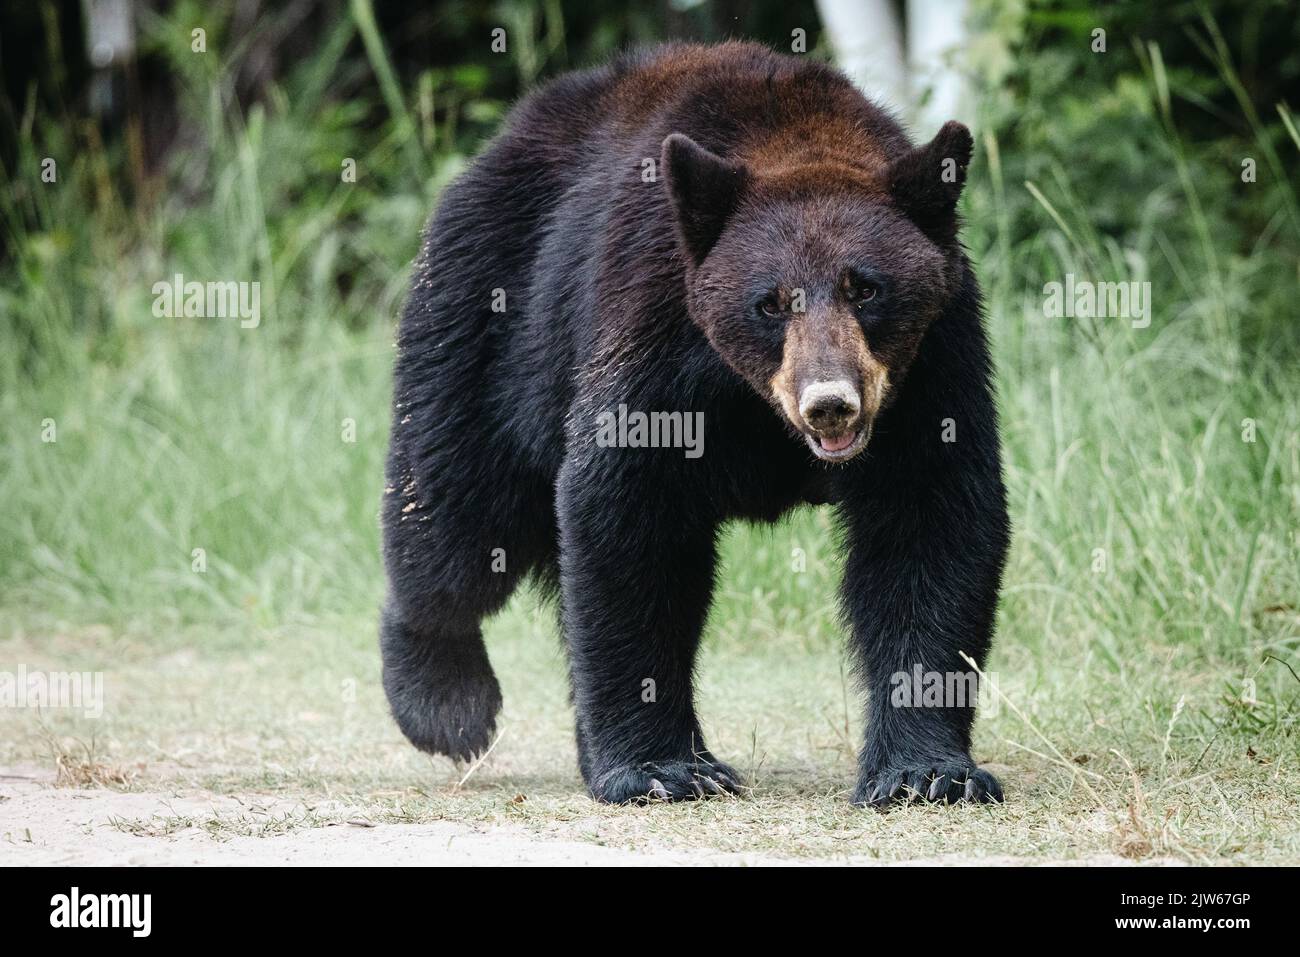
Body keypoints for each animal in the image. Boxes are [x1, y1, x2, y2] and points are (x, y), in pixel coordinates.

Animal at [380, 41, 1009, 808]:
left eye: (866, 287)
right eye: (771, 301)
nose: (830, 402)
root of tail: (509, 129)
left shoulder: (935, 365)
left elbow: (932, 519)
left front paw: (928, 770)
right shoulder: (654, 326)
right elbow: (628, 512)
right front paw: (664, 767)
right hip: (488, 319)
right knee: (456, 515)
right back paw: (445, 703)